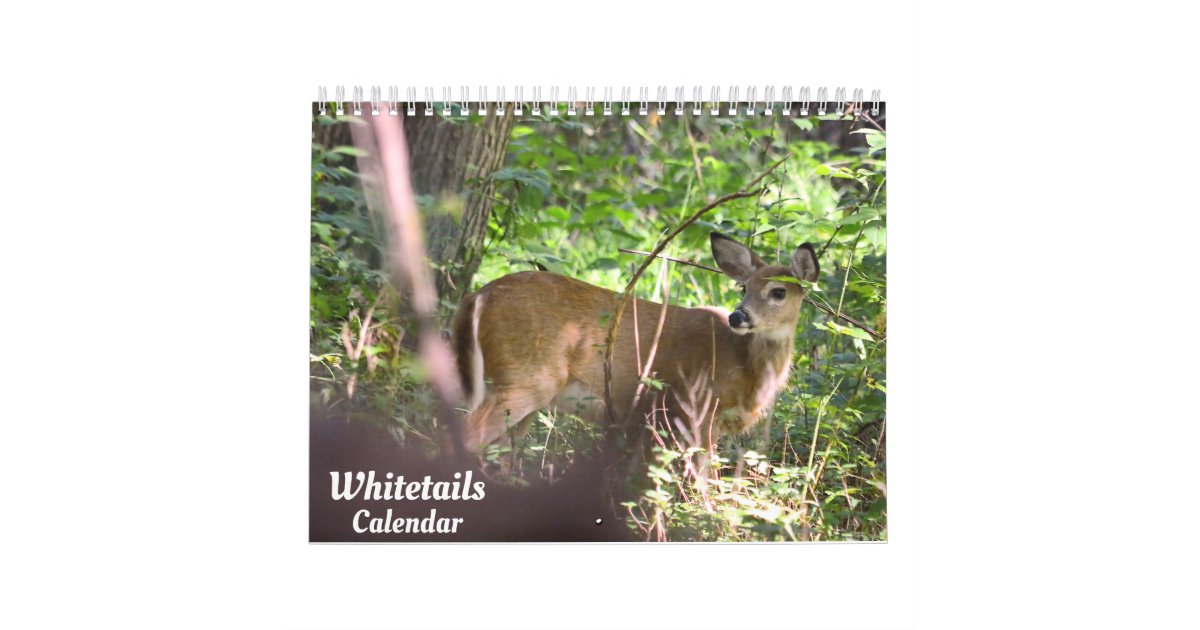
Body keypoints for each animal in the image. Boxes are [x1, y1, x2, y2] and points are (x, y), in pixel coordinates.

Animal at [450, 232, 820, 466]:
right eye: (744, 287)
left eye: (779, 292)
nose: (738, 315)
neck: (747, 367)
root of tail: (476, 298)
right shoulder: (699, 408)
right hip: (527, 376)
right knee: (467, 434)